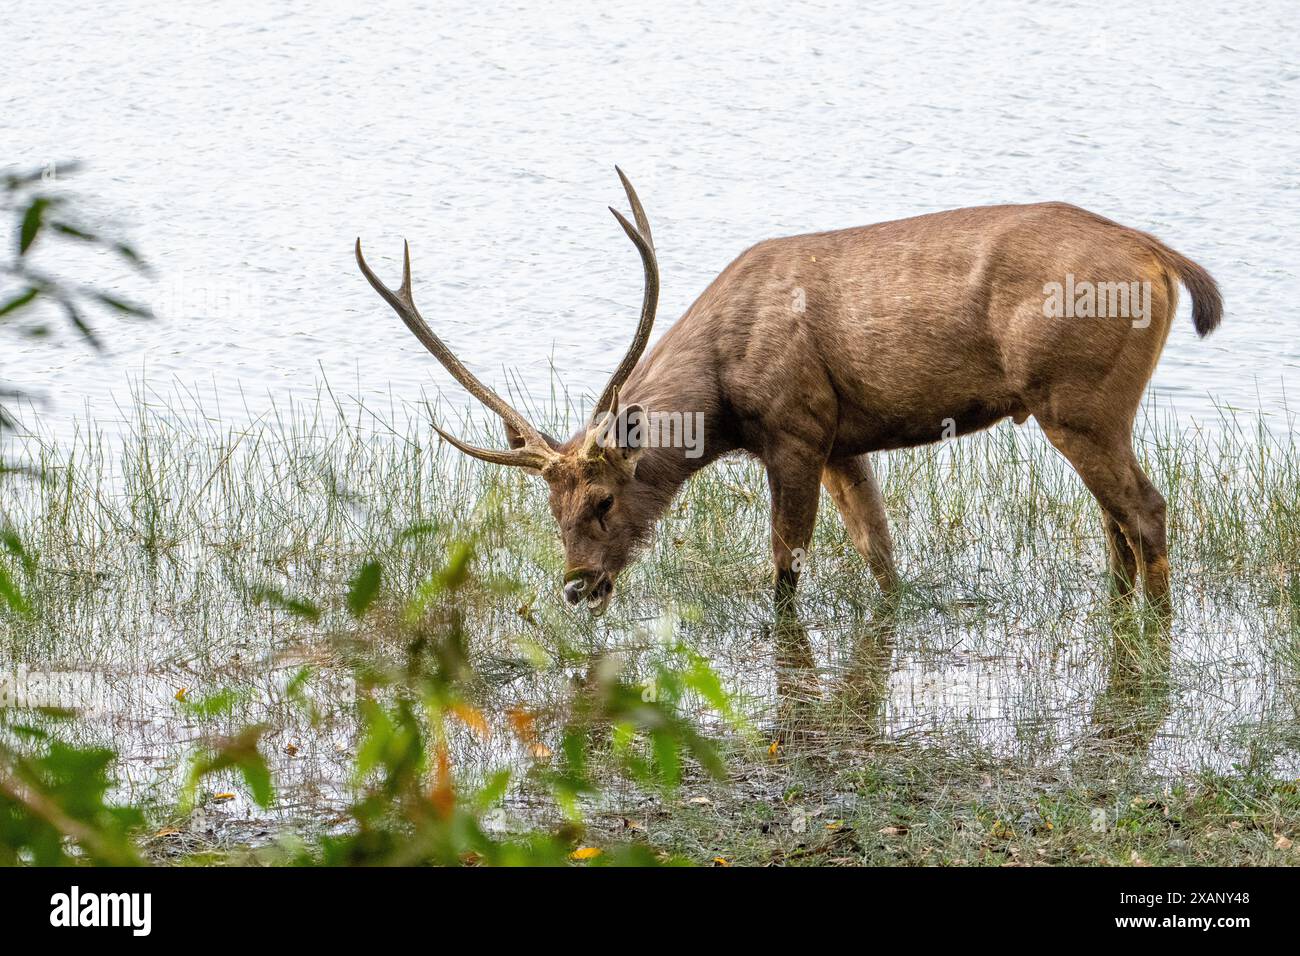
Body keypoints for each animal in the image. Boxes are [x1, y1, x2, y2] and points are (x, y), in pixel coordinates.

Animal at [356, 169, 1221, 619]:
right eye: (550, 506)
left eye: (603, 498)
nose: (577, 585)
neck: (721, 402)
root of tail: (1165, 260)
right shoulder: (845, 440)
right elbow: (880, 556)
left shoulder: (796, 427)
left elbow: (784, 567)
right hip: (1076, 409)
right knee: (1114, 520)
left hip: (1079, 398)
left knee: (1144, 509)